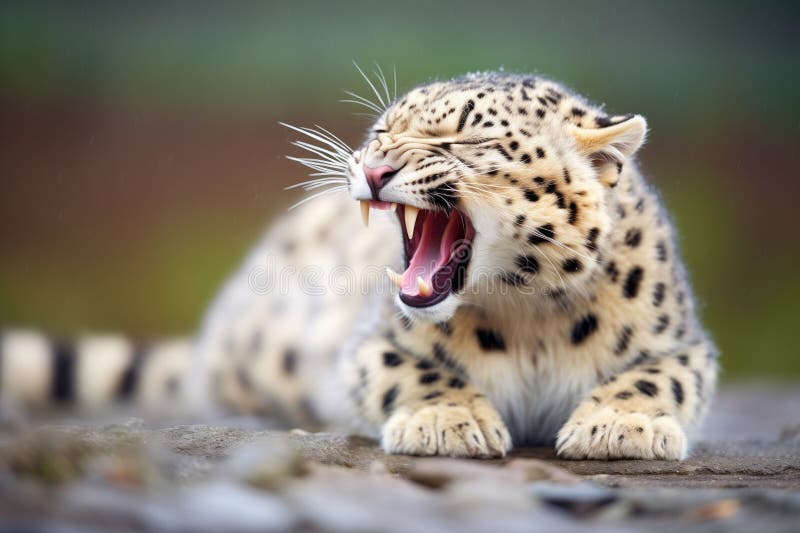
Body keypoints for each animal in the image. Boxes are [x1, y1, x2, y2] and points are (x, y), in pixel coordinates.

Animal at [0, 70, 718, 460]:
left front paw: (620, 423)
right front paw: (445, 420)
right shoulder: (371, 343)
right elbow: (412, 370)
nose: (373, 167)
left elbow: (658, 376)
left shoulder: (684, 344)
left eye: (465, 138)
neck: (529, 316)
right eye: (382, 130)